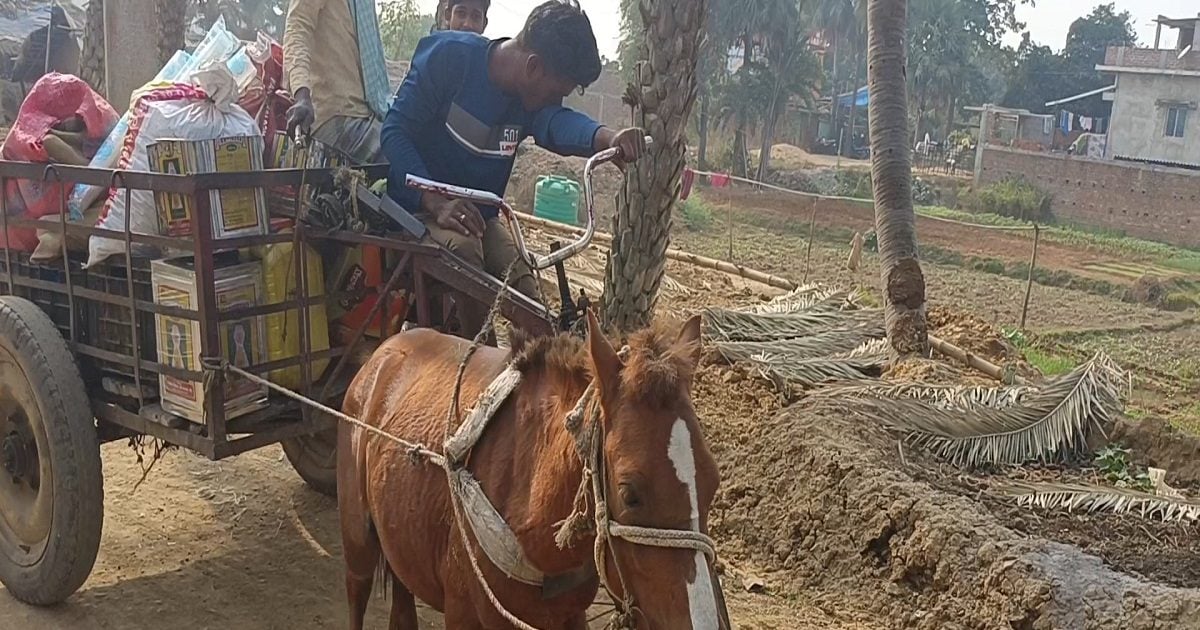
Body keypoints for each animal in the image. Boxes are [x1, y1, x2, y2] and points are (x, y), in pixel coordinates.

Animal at [337, 311, 723, 629]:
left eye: (713, 484)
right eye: (630, 494)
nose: (702, 621)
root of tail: (387, 347)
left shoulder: (569, 617)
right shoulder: (462, 617)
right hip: (358, 544)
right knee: (357, 589)